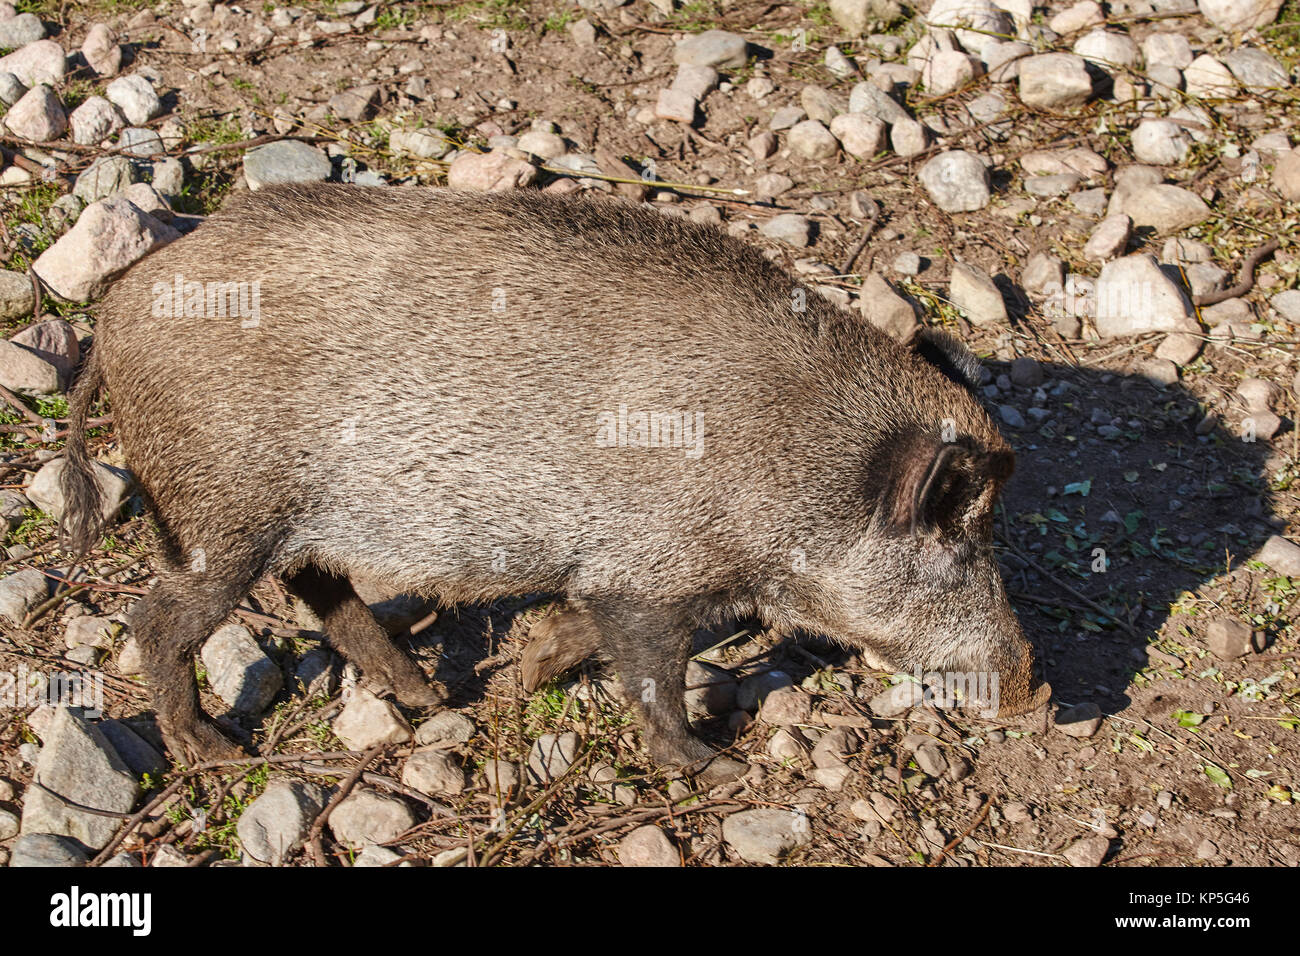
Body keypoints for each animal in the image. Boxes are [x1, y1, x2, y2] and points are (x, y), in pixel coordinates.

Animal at [61, 183, 1050, 781]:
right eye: (960, 542)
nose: (1035, 694)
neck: (792, 458)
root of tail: (115, 307)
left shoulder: (623, 574)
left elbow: (583, 632)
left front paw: (522, 679)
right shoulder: (653, 575)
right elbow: (655, 676)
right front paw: (720, 768)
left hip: (289, 516)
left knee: (320, 589)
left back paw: (430, 700)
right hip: (219, 512)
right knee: (157, 621)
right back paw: (217, 753)